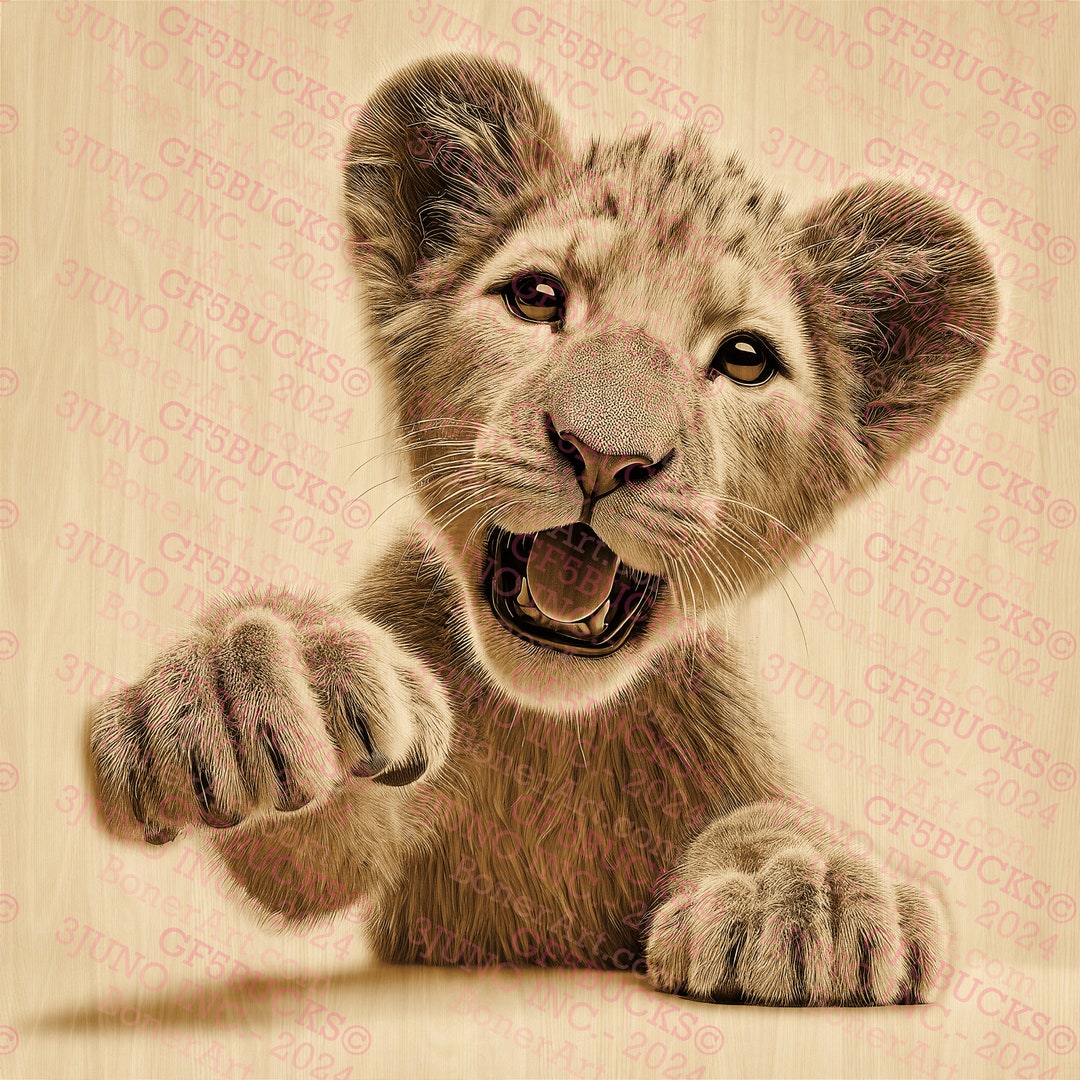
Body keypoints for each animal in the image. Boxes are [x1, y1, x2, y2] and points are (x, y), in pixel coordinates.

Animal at [89, 53, 997, 1006]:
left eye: (746, 359)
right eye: (535, 298)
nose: (604, 454)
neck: (555, 730)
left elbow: (767, 818)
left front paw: (811, 893)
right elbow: (312, 856)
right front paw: (256, 687)